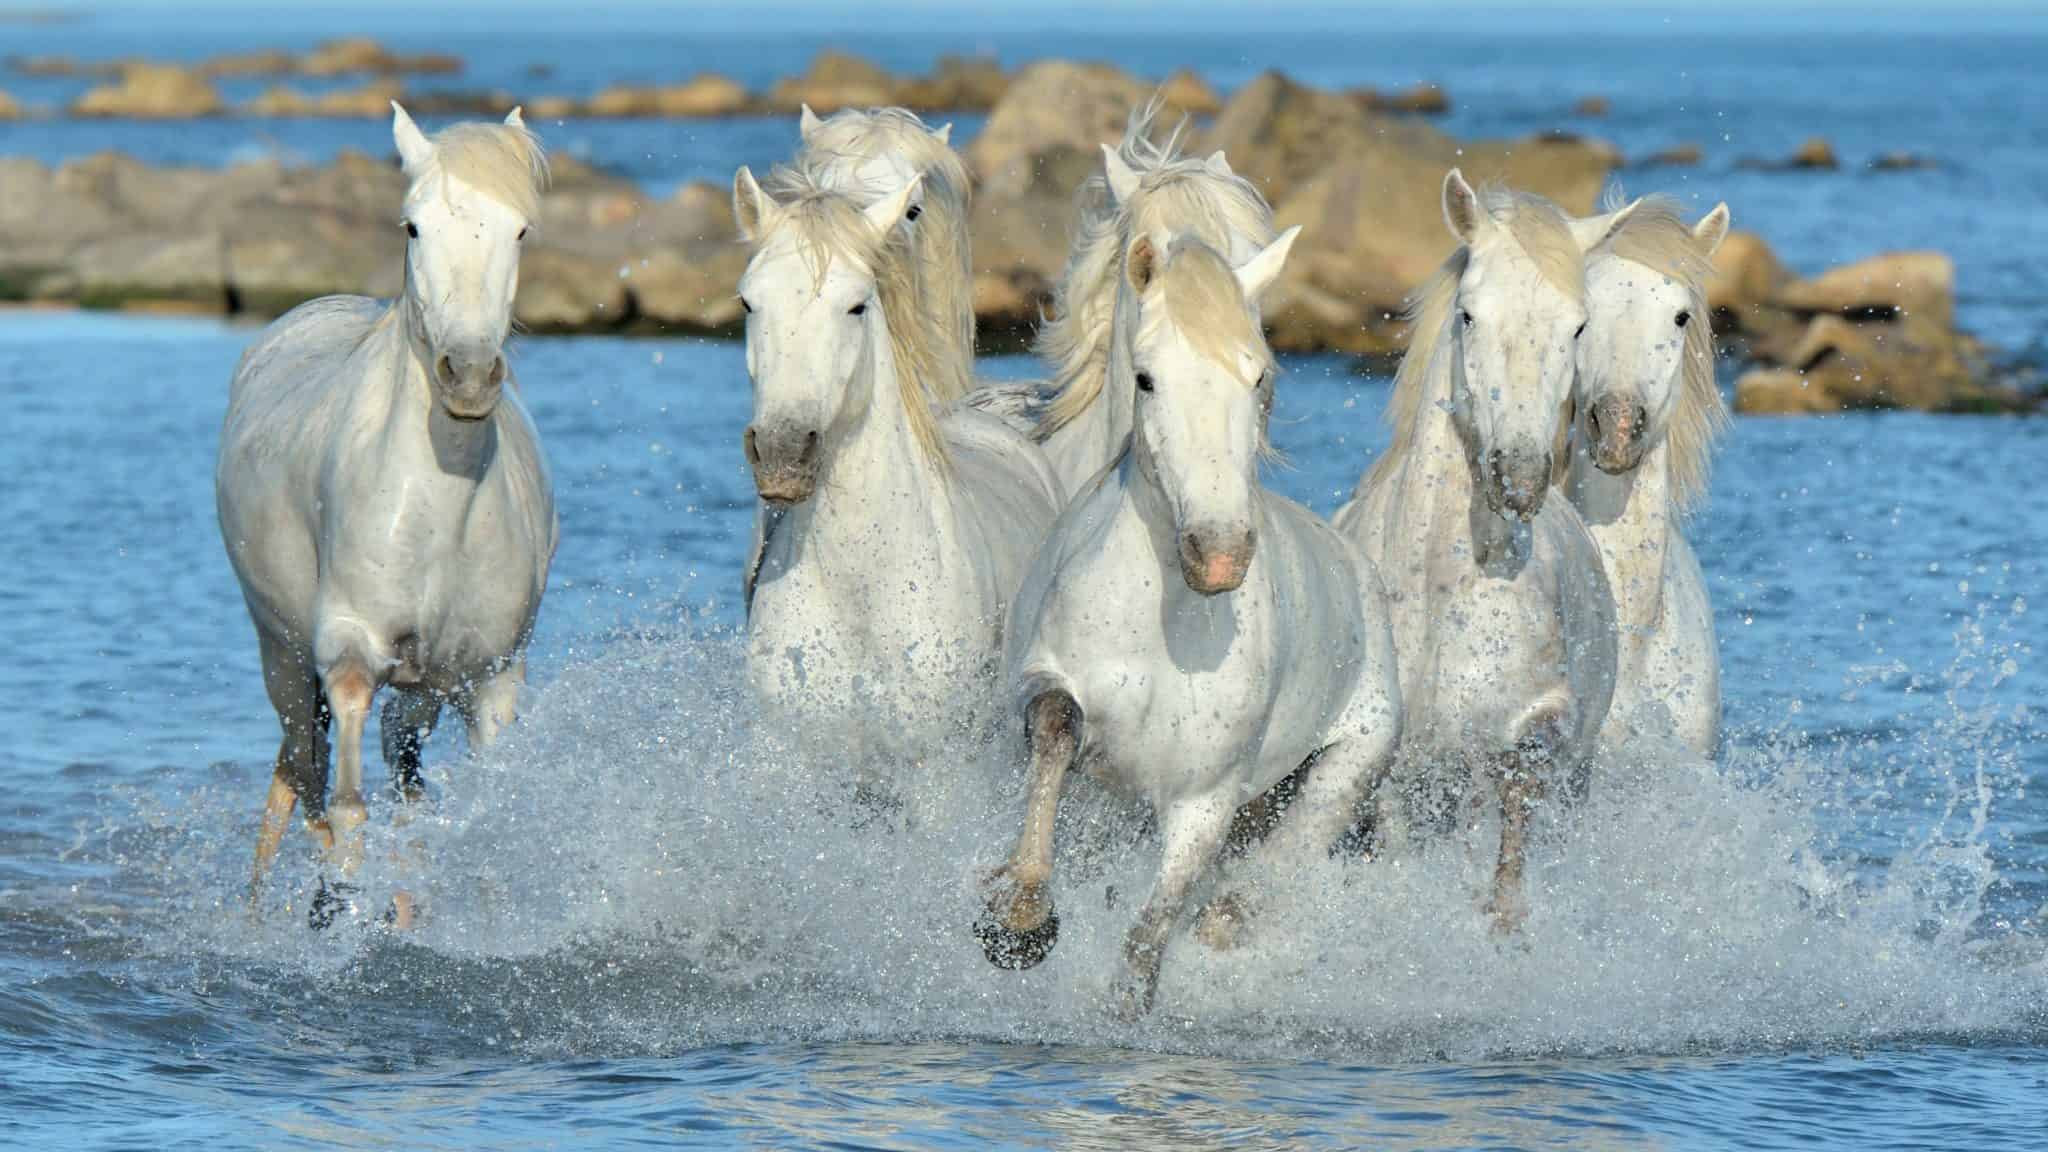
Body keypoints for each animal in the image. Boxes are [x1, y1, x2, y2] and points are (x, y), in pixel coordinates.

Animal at [217, 104, 556, 912]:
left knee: (401, 795)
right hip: (282, 656)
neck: (439, 510)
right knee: (302, 782)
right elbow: (346, 813)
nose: (469, 377)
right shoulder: (348, 660)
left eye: (520, 230)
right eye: (413, 226)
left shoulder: (491, 680)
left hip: (418, 693)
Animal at [977, 227, 1403, 1017]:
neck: (1163, 631)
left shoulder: (1206, 803)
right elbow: (1056, 728)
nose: (1219, 554)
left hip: (1338, 776)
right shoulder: (1045, 689)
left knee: (1240, 902)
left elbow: (1148, 939)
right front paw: (1020, 920)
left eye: (1260, 377)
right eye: (1146, 379)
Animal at [1331, 171, 1623, 934]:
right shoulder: (1397, 768)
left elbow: (1512, 833)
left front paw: (1504, 924)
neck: (1442, 590)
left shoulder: (1527, 724)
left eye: (1579, 325)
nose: (1518, 478)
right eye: (1468, 315)